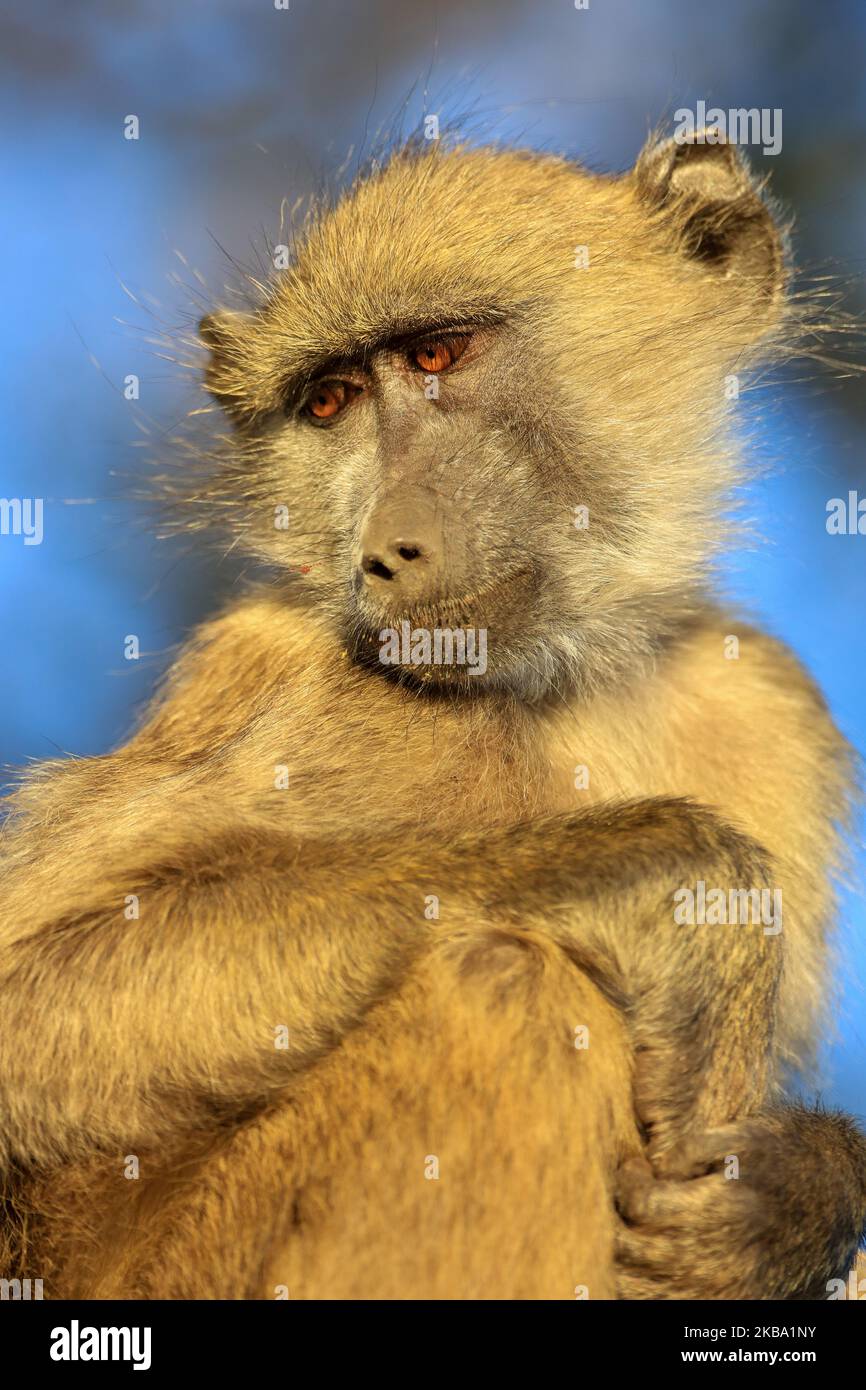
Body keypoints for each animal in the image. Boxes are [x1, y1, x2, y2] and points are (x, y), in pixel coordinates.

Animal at [1, 125, 865, 1302]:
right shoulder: (327, 694)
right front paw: (667, 879)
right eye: (328, 402)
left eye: (440, 356)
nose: (388, 549)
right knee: (505, 987)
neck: (557, 679)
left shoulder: (764, 700)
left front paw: (789, 1198)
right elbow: (29, 1001)